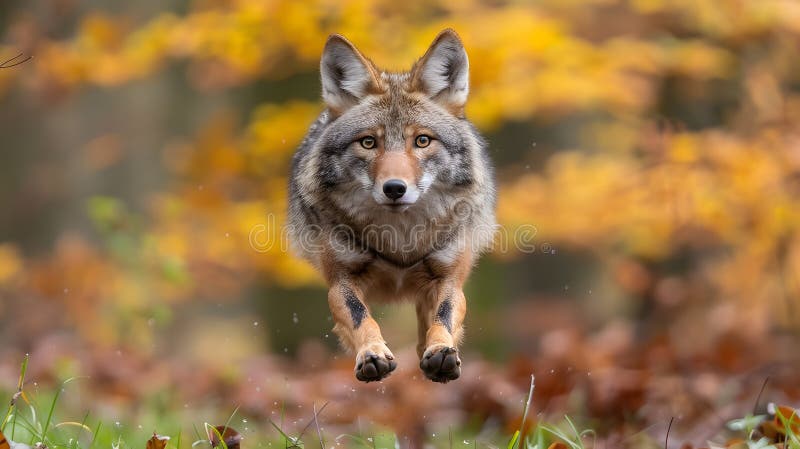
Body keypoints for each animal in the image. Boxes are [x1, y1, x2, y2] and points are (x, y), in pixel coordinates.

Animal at [287, 29, 496, 383]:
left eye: (422, 140)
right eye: (368, 142)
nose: (395, 188)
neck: (400, 238)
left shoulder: (449, 278)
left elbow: (443, 317)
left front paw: (441, 353)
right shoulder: (340, 280)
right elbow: (360, 317)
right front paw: (372, 354)